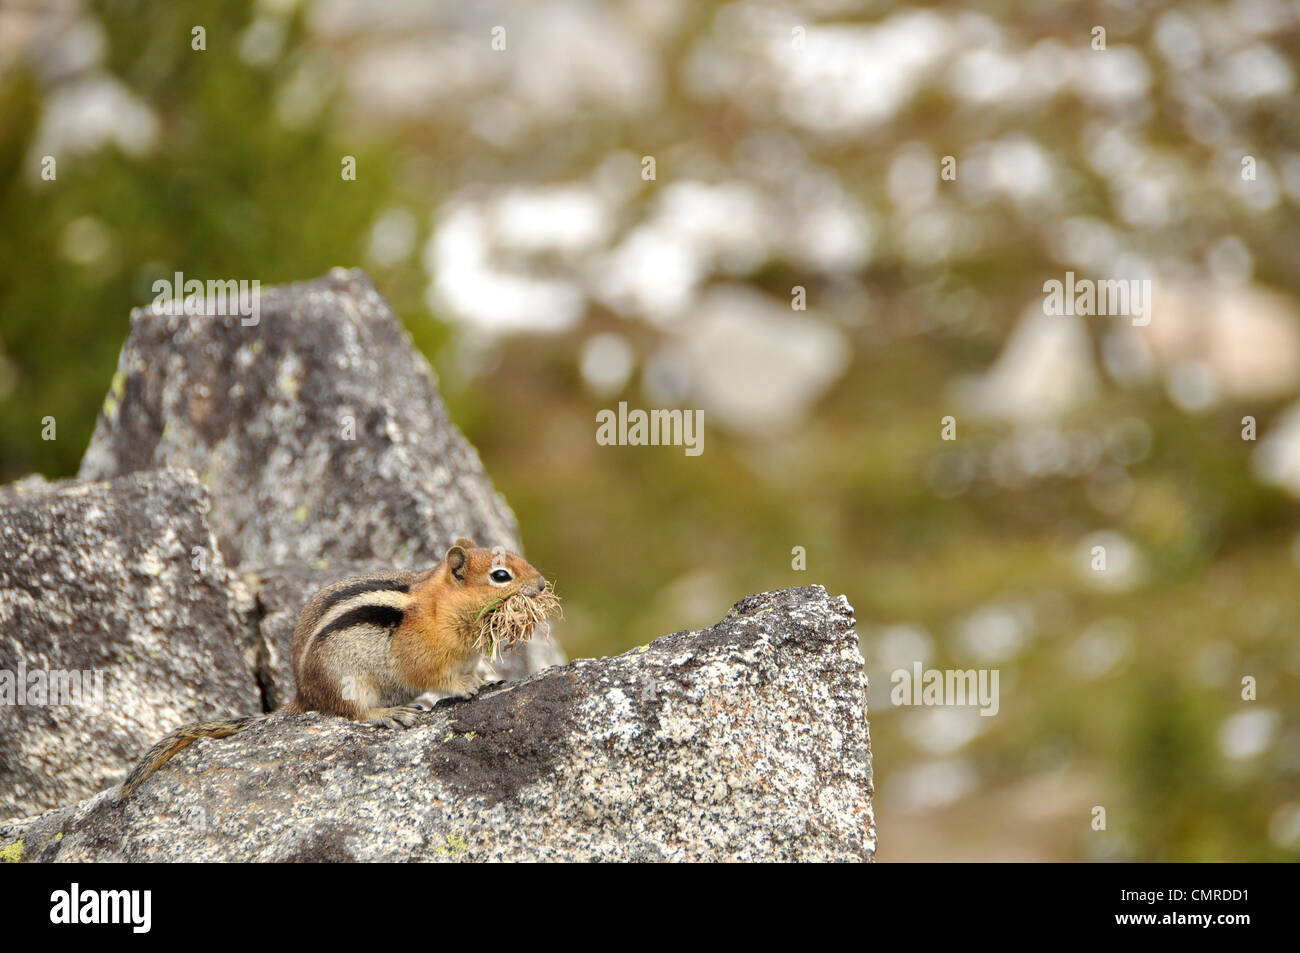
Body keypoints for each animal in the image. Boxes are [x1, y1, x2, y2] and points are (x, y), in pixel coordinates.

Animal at [118, 538, 550, 799]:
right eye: (500, 575)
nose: (544, 584)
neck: (440, 606)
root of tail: (303, 693)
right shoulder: (423, 656)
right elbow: (433, 677)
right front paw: (463, 688)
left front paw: (484, 679)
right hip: (349, 682)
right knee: (350, 713)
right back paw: (389, 713)